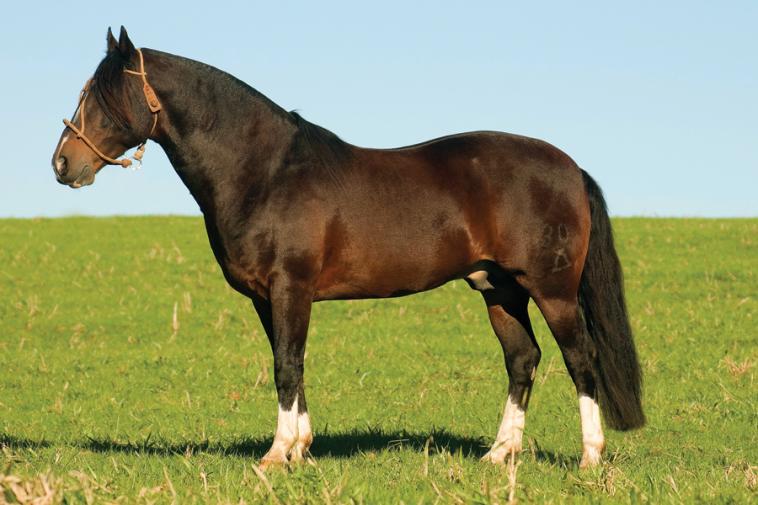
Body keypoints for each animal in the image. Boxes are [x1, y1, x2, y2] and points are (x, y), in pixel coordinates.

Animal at [52, 27, 644, 469]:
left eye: (104, 98)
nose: (62, 164)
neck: (265, 172)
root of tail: (570, 167)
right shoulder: (267, 298)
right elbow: (290, 362)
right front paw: (300, 448)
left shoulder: (290, 287)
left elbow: (286, 365)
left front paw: (276, 455)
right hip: (499, 290)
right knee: (523, 359)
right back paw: (499, 455)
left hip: (551, 289)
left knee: (580, 358)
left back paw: (590, 457)